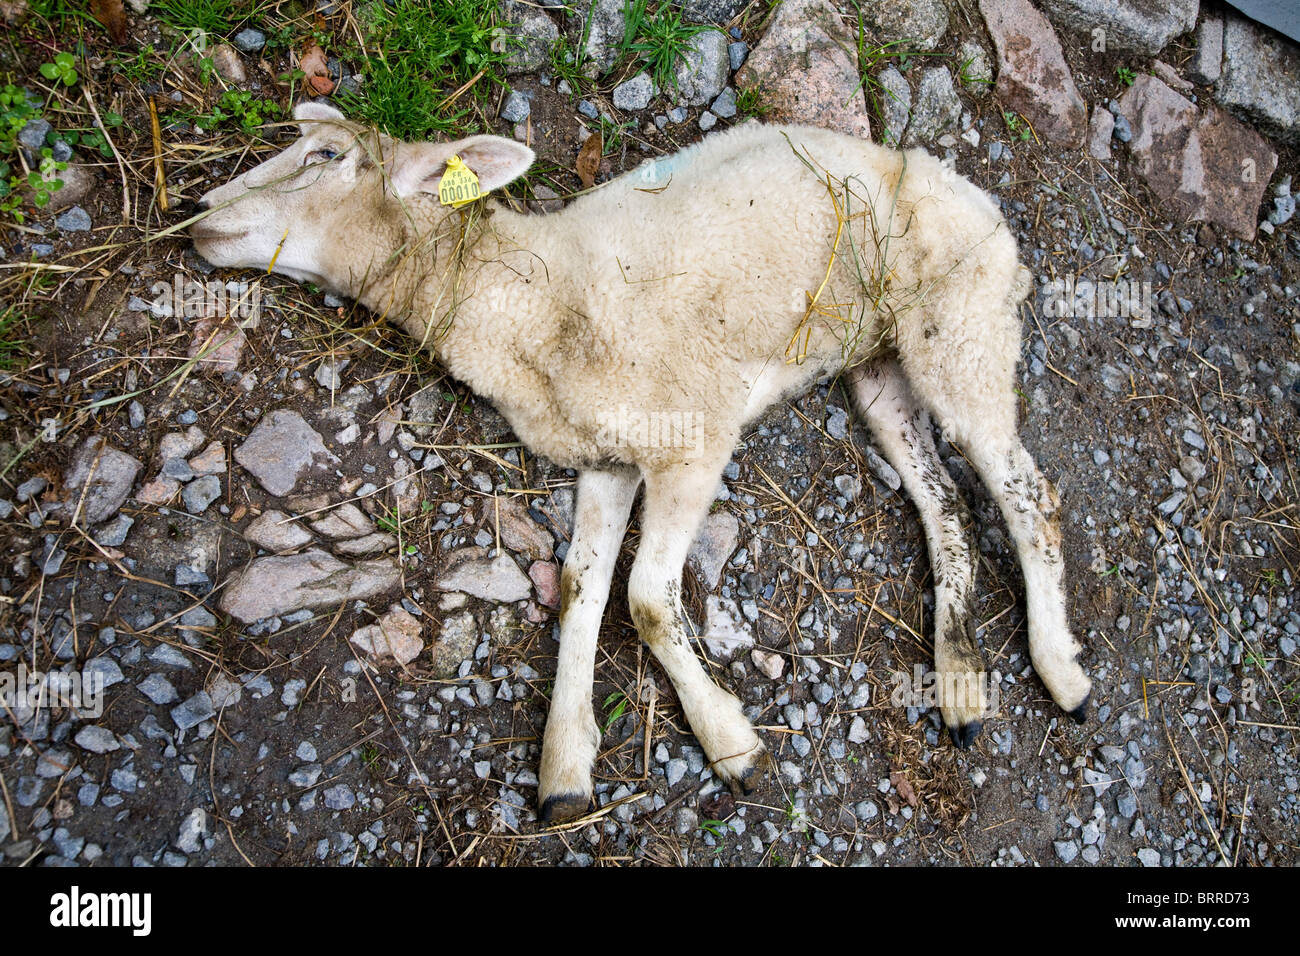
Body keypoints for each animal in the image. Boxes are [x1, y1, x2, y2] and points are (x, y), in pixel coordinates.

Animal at [192, 100, 1092, 823]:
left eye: (326, 154)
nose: (199, 212)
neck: (535, 302)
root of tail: (977, 196)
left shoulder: (693, 439)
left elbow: (649, 601)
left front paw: (731, 743)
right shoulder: (607, 460)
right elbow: (581, 592)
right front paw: (564, 768)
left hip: (964, 324)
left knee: (1028, 489)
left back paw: (1060, 669)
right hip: (881, 363)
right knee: (944, 498)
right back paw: (961, 682)